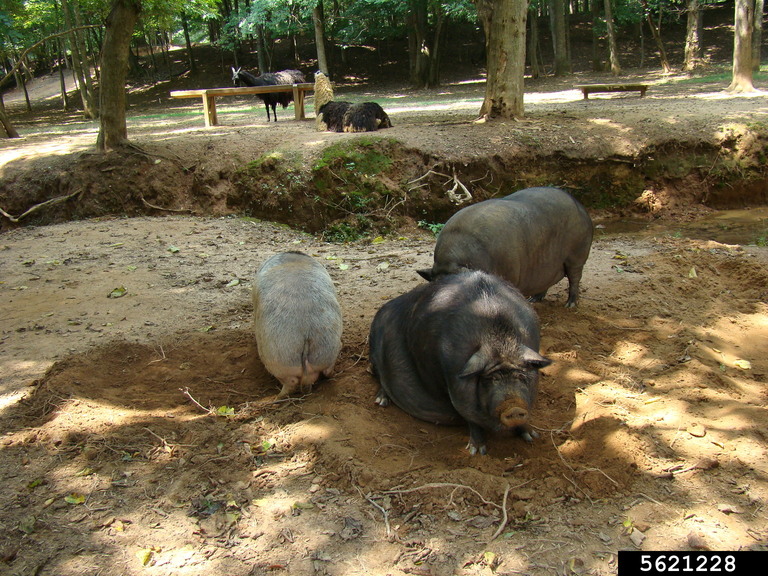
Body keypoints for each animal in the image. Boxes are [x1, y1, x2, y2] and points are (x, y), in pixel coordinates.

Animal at [252, 251, 343, 398]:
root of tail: (306, 332)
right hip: (328, 351)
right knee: (328, 370)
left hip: (278, 359)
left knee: (290, 383)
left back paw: (277, 397)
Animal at [369, 270, 551, 455]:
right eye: (490, 379)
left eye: (521, 376)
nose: (514, 408)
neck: (500, 343)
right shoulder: (453, 377)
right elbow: (470, 415)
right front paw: (477, 451)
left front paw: (533, 437)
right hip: (374, 351)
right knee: (379, 377)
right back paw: (381, 402)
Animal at [418, 187, 593, 307]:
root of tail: (580, 206)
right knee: (547, 279)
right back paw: (534, 299)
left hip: (577, 254)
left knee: (575, 277)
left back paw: (570, 305)